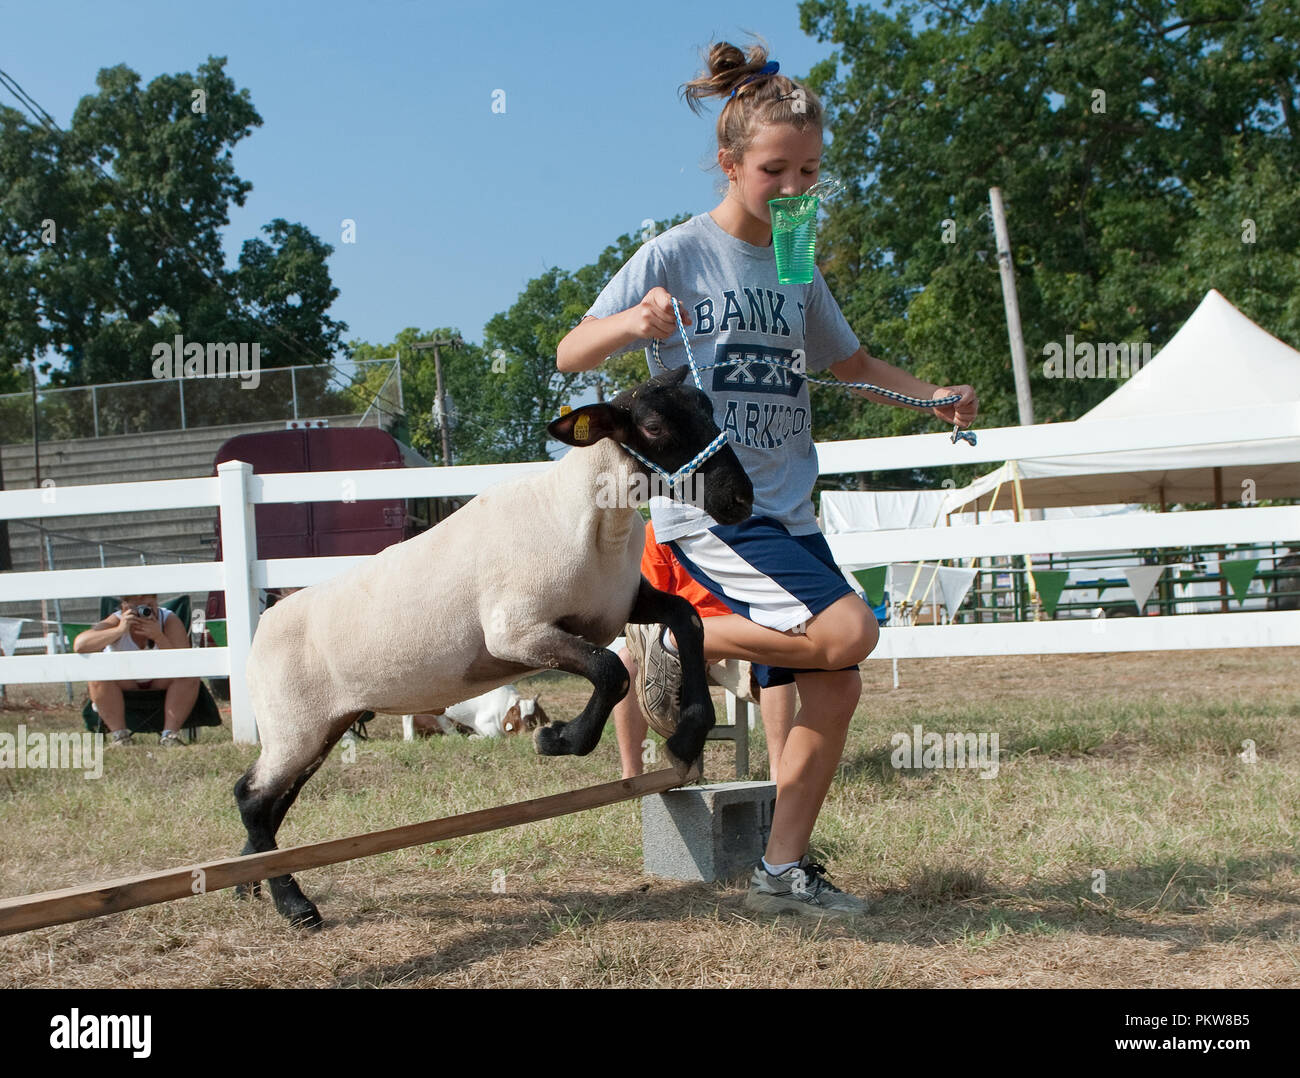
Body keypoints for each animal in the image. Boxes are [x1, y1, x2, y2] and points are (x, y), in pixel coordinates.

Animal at [234, 365, 754, 927]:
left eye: (707, 407)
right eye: (654, 426)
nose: (741, 498)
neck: (588, 521)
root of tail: (263, 626)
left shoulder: (615, 608)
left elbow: (687, 620)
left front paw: (689, 733)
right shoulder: (515, 632)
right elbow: (611, 670)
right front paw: (558, 740)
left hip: (319, 728)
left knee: (273, 799)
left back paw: (249, 884)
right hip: (293, 725)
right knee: (251, 796)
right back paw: (294, 904)